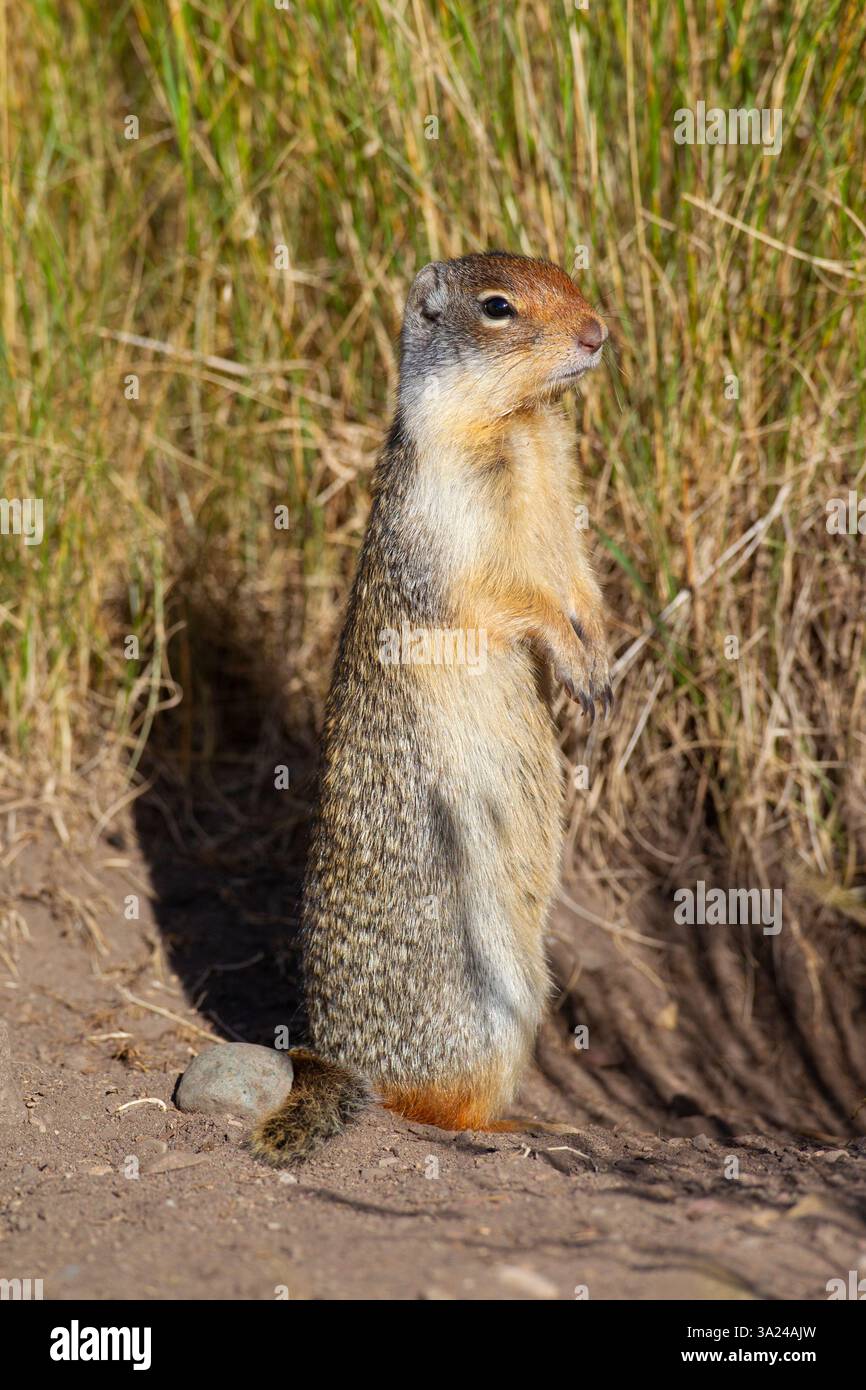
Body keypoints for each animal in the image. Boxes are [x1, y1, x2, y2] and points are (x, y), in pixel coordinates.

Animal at [250, 252, 611, 1164]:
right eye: (498, 306)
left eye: (564, 273)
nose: (598, 333)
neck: (518, 423)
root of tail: (338, 1056)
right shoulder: (447, 522)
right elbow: (506, 597)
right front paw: (571, 656)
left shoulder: (562, 499)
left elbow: (580, 579)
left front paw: (599, 662)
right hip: (483, 1002)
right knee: (439, 1108)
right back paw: (529, 1123)